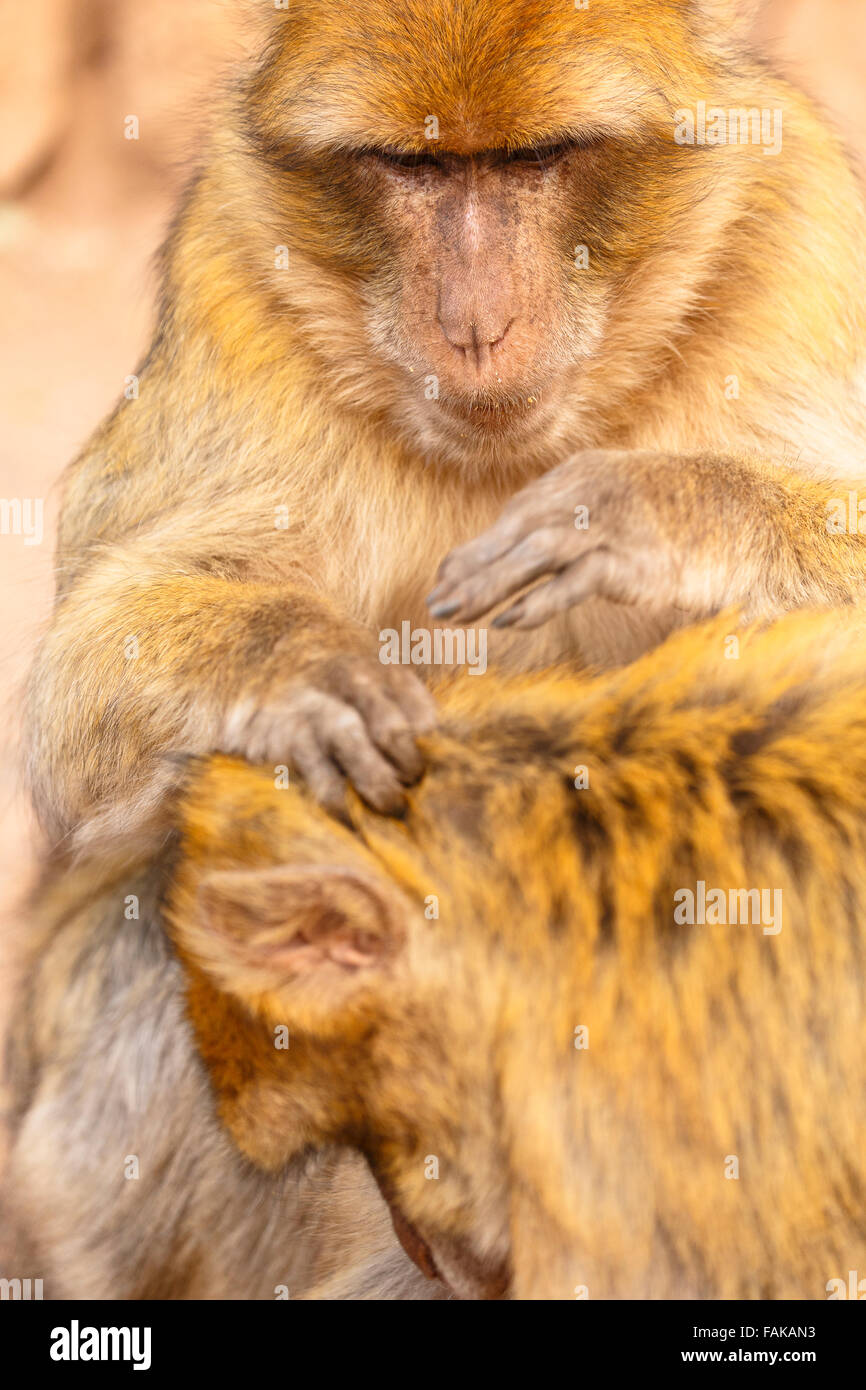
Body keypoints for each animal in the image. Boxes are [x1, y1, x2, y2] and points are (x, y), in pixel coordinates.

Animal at [23, 0, 866, 858]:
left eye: (538, 156)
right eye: (412, 166)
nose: (475, 326)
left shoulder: (802, 239)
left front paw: (655, 509)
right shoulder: (229, 266)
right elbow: (86, 663)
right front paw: (297, 665)